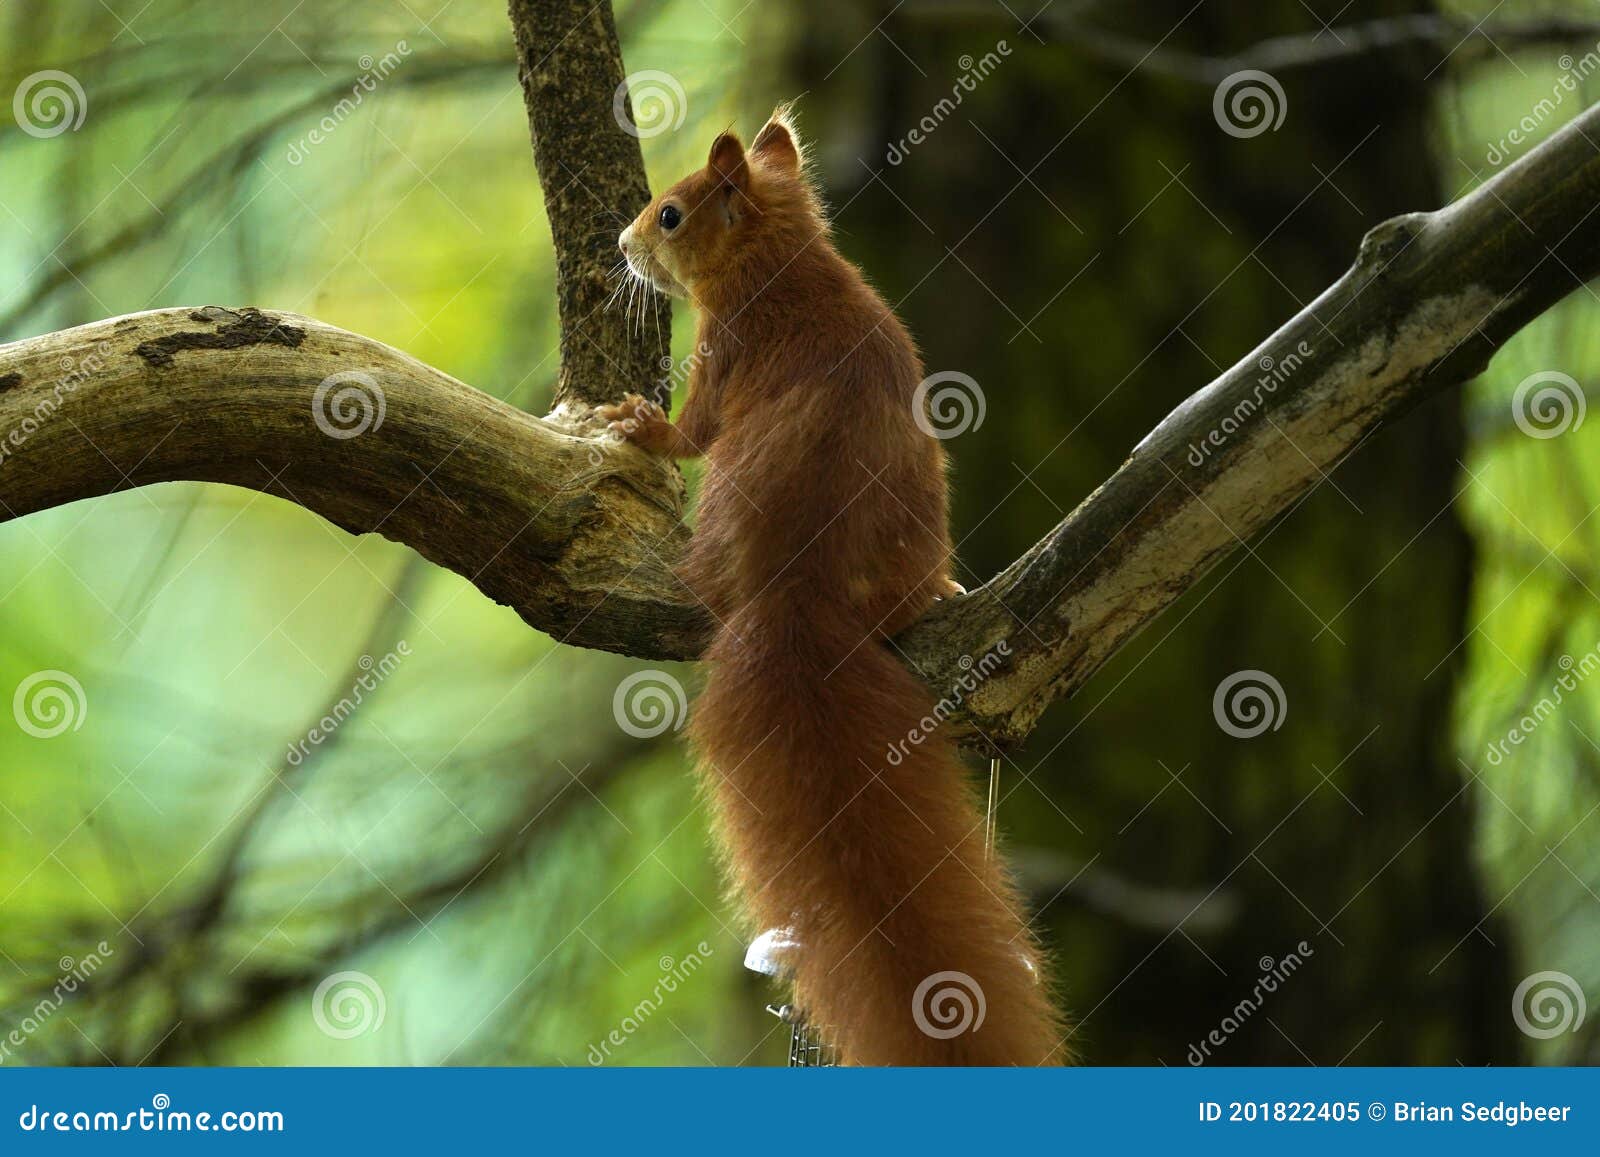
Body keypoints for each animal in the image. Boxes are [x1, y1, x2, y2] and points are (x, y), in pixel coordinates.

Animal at [598, 107, 1063, 1066]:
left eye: (671, 215)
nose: (622, 243)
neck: (785, 260)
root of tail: (794, 589)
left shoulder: (725, 352)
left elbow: (689, 435)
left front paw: (636, 422)